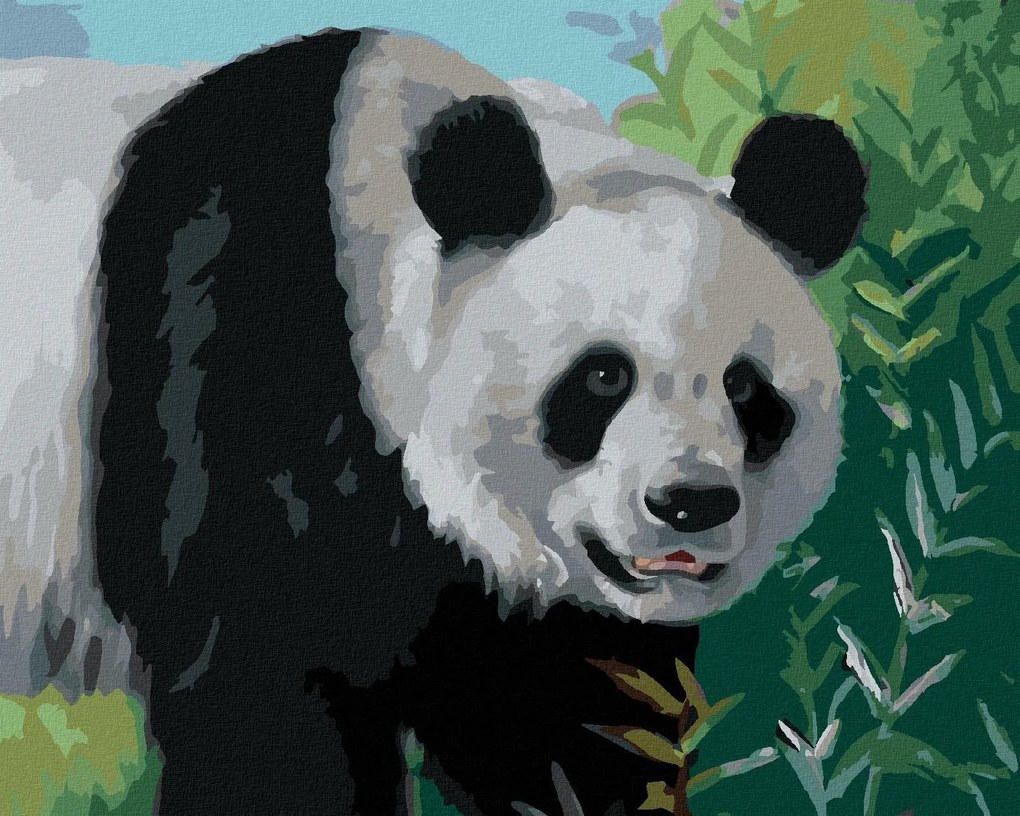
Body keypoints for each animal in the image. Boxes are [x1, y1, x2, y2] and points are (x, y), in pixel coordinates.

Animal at [90, 27, 866, 816]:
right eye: (603, 377)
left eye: (745, 388)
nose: (690, 503)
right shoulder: (230, 372)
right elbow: (259, 691)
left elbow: (558, 728)